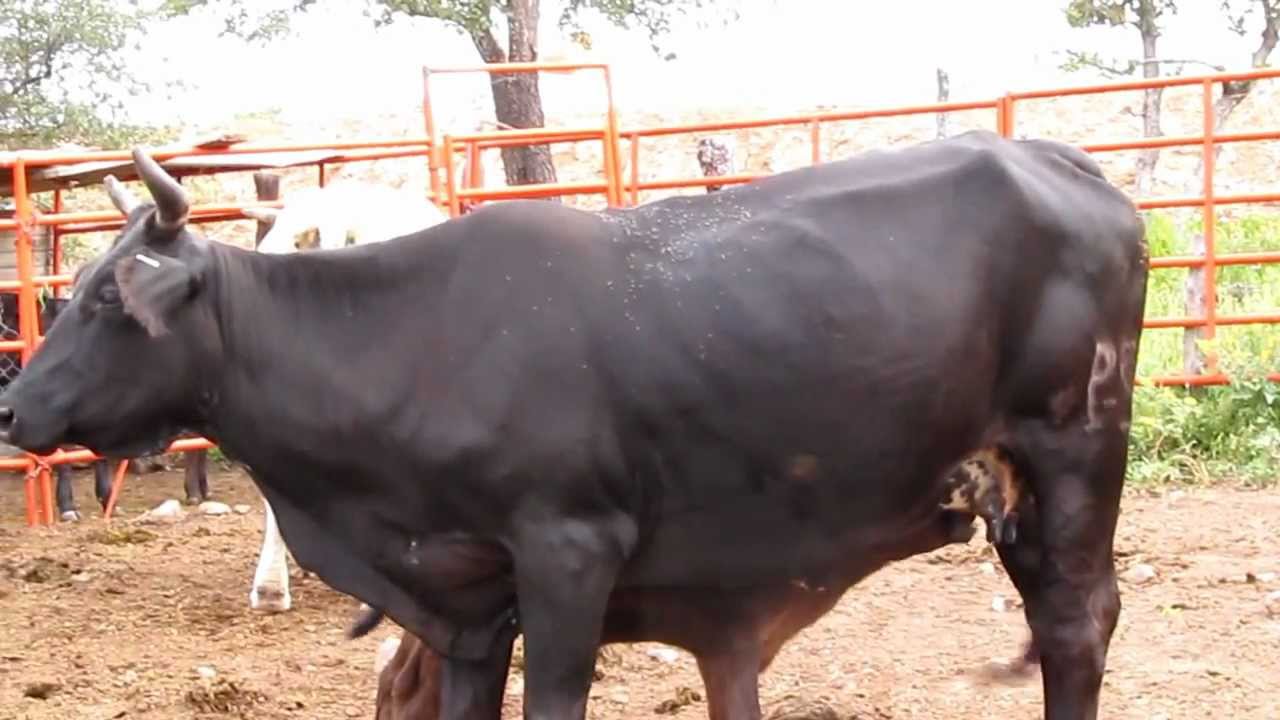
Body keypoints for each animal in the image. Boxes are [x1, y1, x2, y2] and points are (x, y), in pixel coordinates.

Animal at [0, 129, 1148, 720]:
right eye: (78, 289)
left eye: (106, 302)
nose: (11, 404)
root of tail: (1057, 159)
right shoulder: (464, 608)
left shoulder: (568, 557)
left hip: (1072, 460)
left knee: (1076, 624)